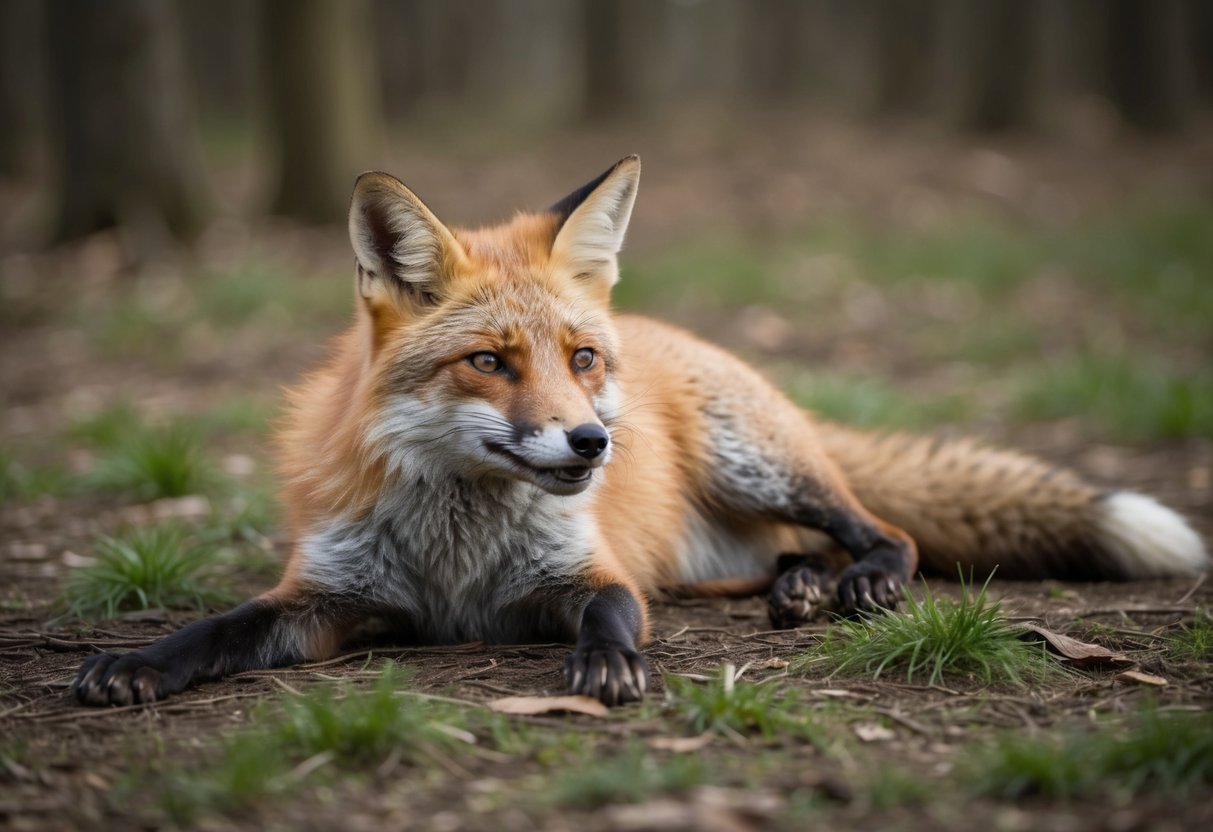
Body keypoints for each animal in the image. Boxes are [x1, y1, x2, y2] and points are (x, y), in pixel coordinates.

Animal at [74, 156, 1209, 707]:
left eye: (578, 359)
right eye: (489, 362)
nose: (590, 445)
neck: (455, 555)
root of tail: (675, 337)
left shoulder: (592, 574)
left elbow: (612, 614)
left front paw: (610, 669)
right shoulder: (330, 600)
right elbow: (219, 629)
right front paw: (139, 663)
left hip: (761, 467)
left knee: (885, 530)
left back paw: (855, 583)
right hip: (721, 538)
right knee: (784, 557)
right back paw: (800, 589)